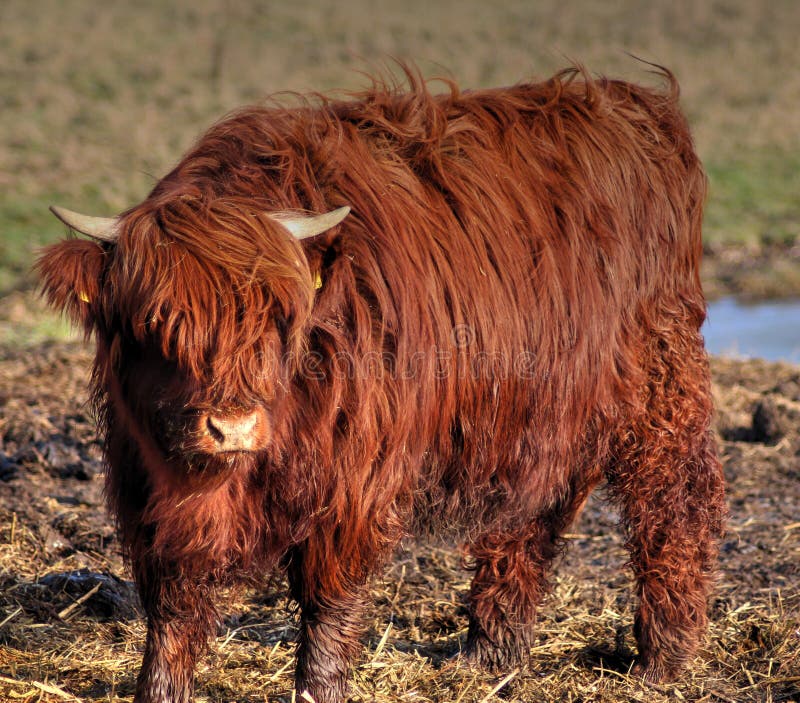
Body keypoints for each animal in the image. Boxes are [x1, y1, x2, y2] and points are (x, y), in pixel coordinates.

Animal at [37, 65, 726, 703]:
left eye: (279, 319)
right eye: (157, 322)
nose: (231, 428)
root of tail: (631, 103)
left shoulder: (354, 480)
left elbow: (328, 597)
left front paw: (321, 689)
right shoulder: (144, 481)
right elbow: (173, 604)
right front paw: (160, 688)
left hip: (660, 384)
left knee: (675, 498)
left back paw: (663, 655)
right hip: (541, 411)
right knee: (530, 514)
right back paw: (490, 655)